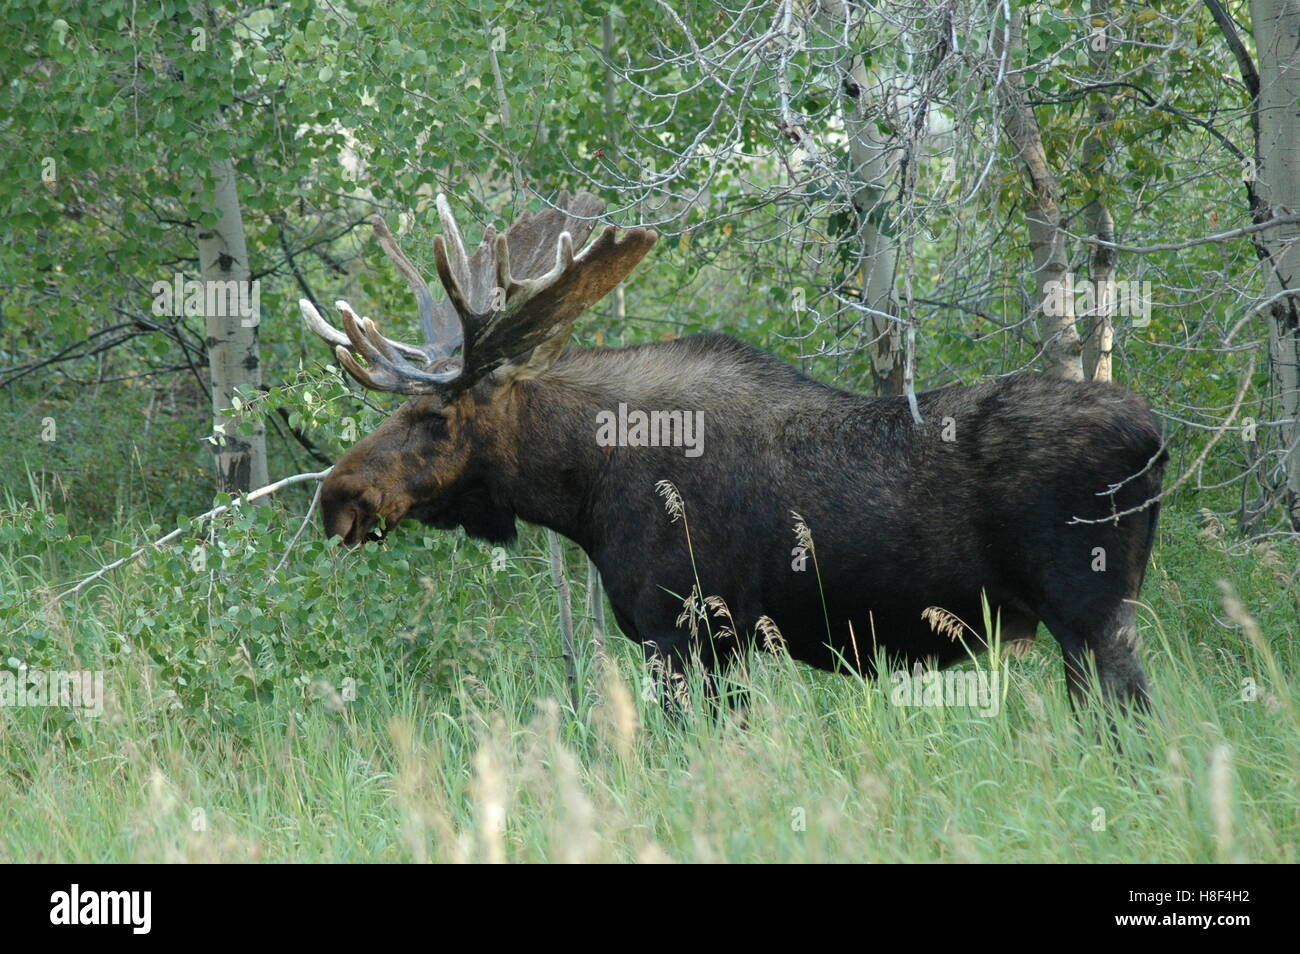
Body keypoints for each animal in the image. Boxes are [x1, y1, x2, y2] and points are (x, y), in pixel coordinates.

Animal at [300, 192, 1165, 715]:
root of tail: (1157, 439)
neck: (581, 491)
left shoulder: (683, 632)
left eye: (435, 416)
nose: (336, 497)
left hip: (1091, 614)